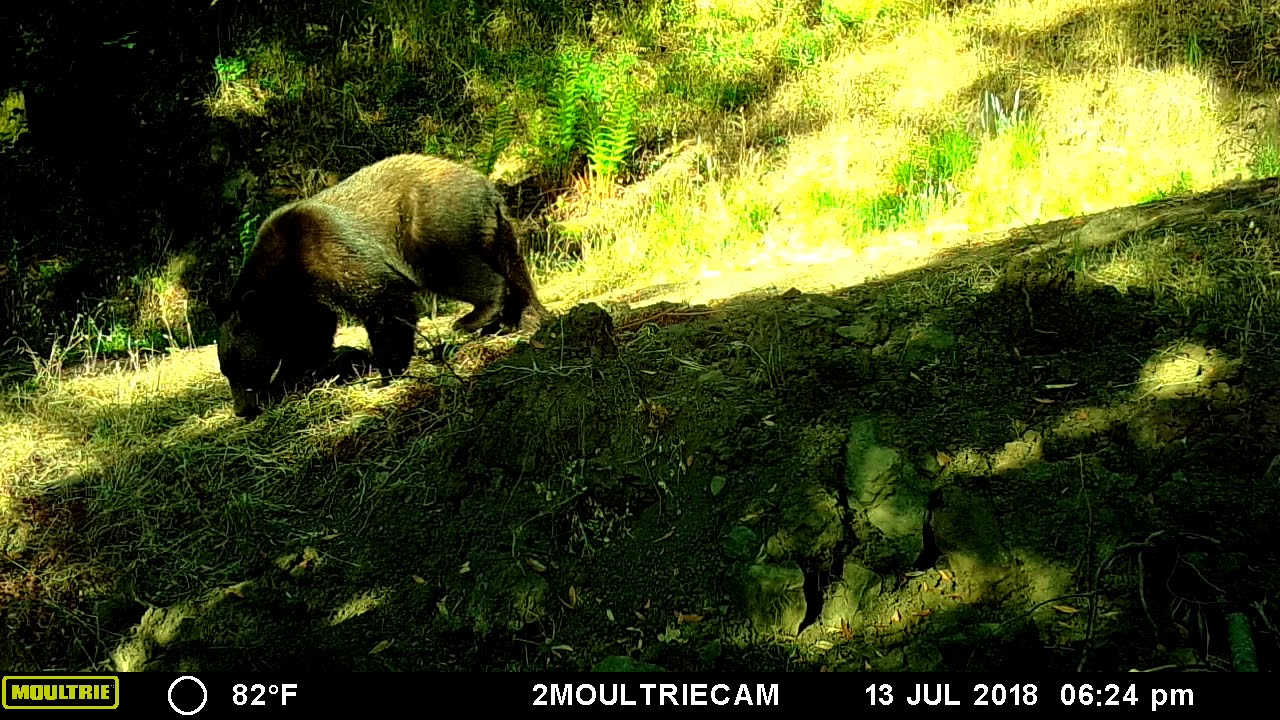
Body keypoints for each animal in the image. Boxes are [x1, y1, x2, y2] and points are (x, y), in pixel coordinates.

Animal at [216, 153, 551, 419]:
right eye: (226, 369)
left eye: (240, 368)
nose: (241, 410)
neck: (286, 275)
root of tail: (486, 188)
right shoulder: (308, 299)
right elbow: (311, 338)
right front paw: (290, 378)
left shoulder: (330, 254)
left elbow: (385, 304)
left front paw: (388, 372)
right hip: (497, 230)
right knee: (514, 267)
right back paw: (525, 316)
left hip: (429, 227)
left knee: (457, 271)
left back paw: (473, 318)